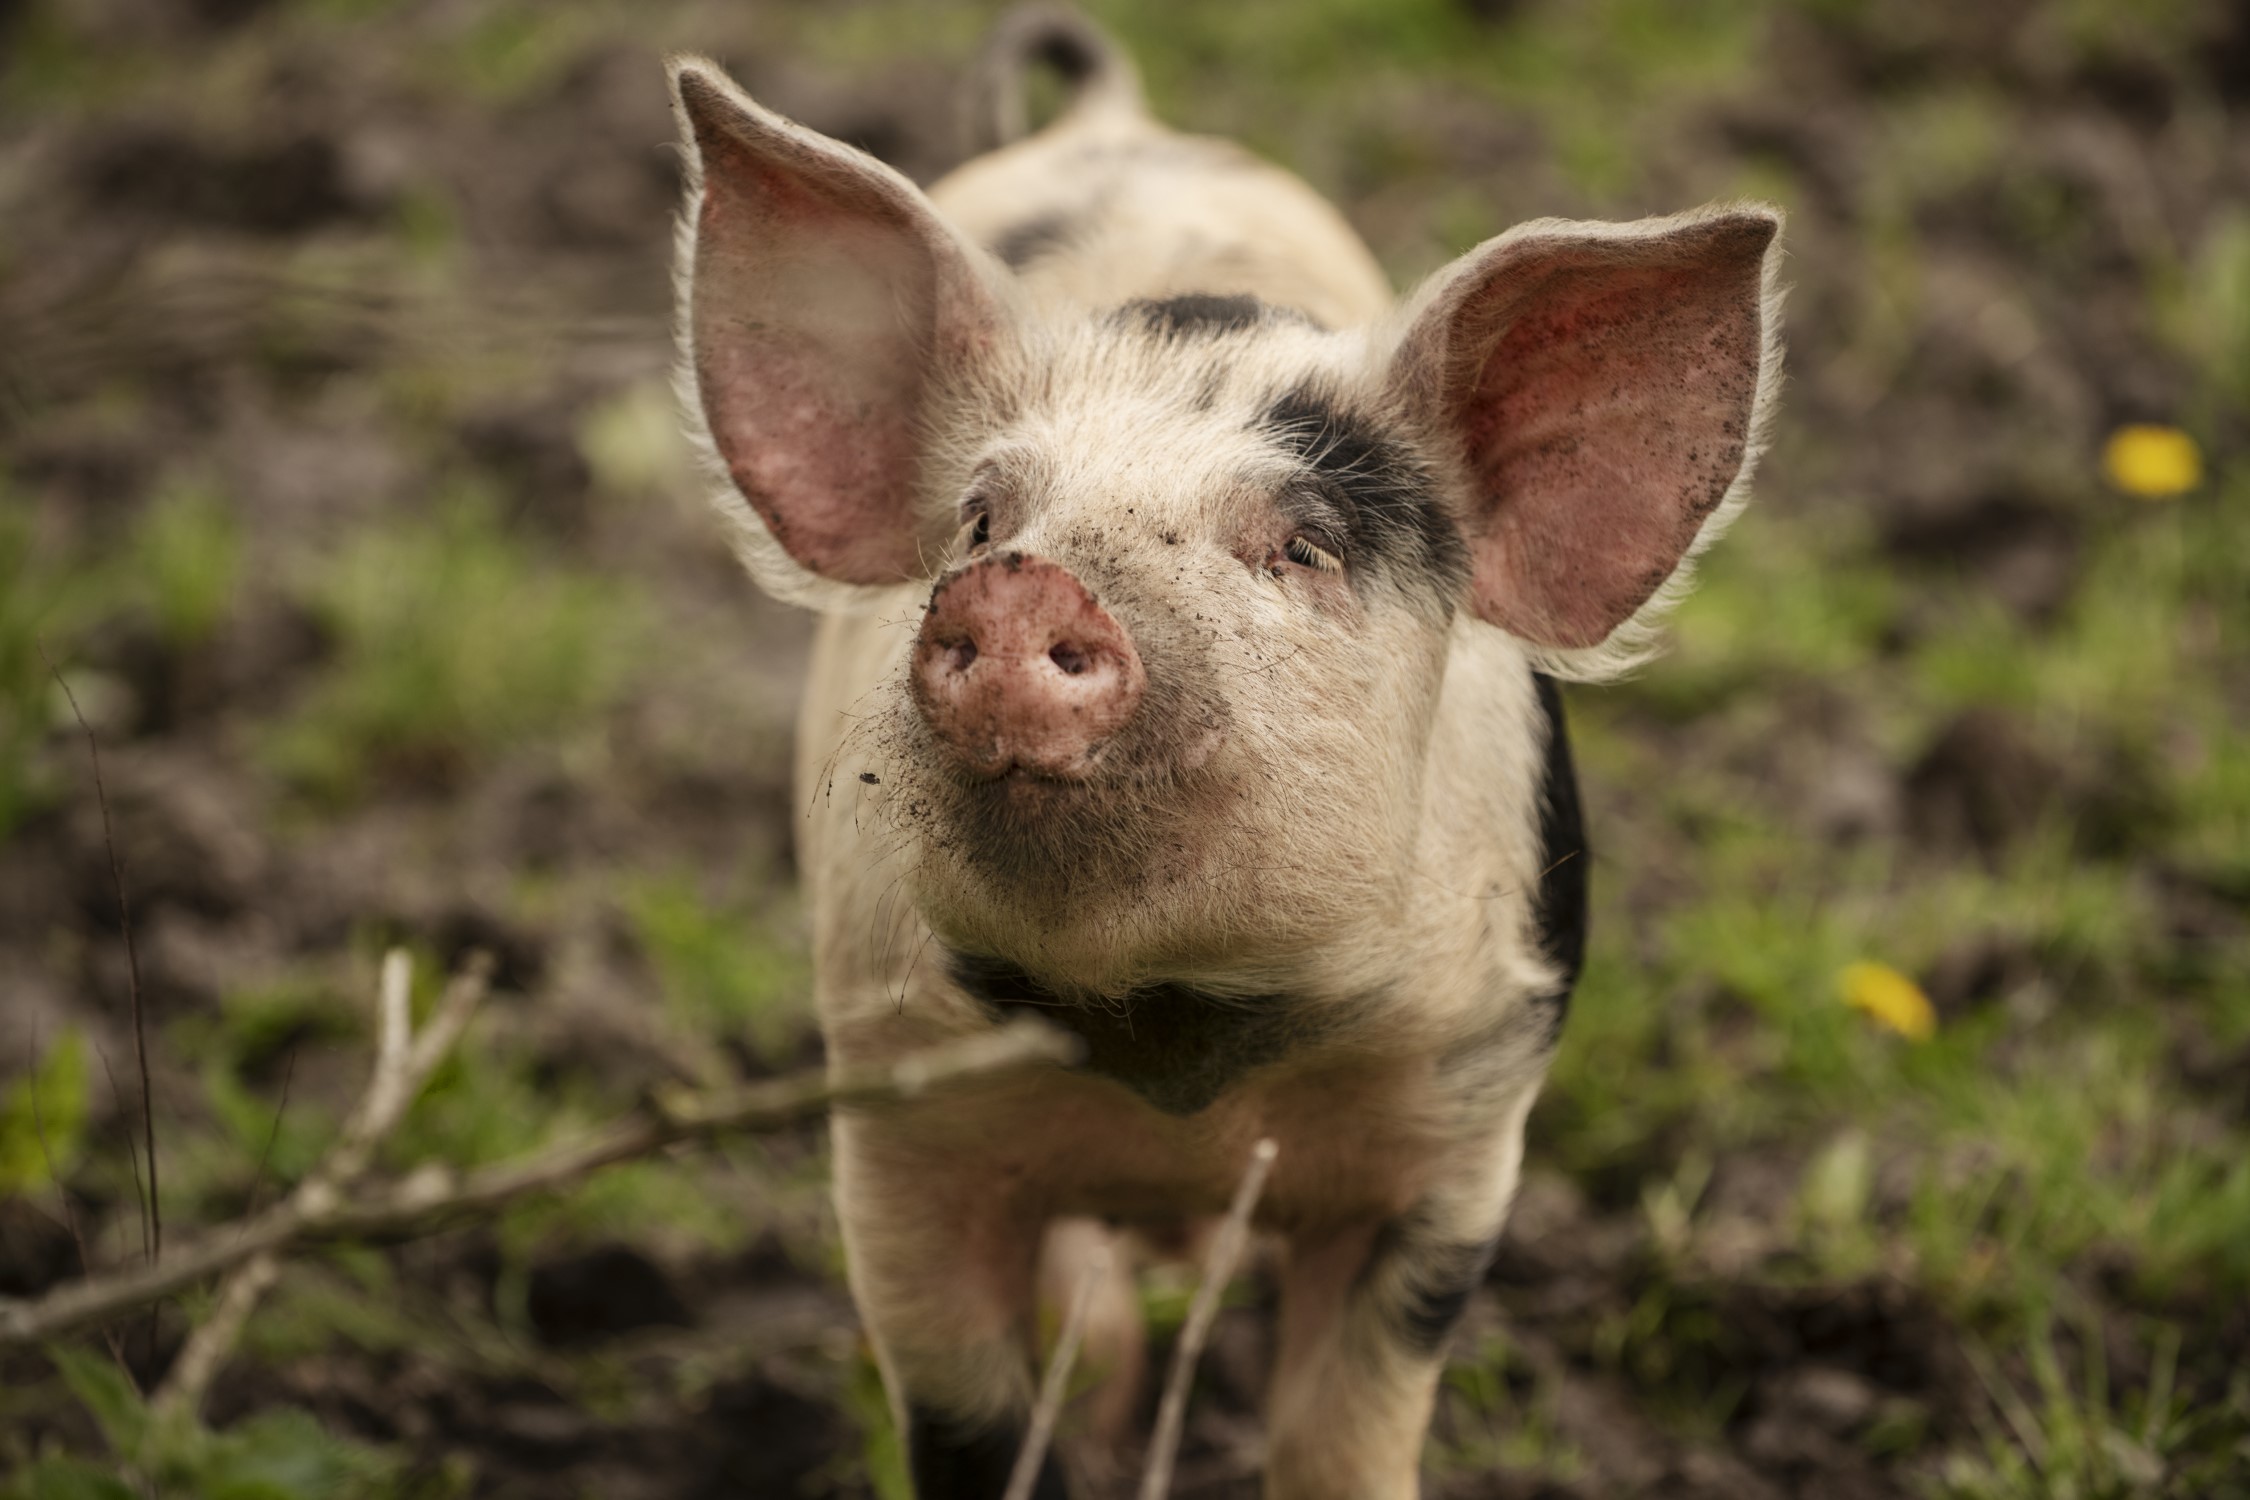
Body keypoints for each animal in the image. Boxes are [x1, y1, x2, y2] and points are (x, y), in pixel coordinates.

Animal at [667, 10, 1782, 1498]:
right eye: (978, 519)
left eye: (1302, 545)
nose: (1021, 585)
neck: (1175, 1049)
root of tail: (1115, 118)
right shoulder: (893, 1127)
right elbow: (969, 1422)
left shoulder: (1460, 1134)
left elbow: (1346, 1434)